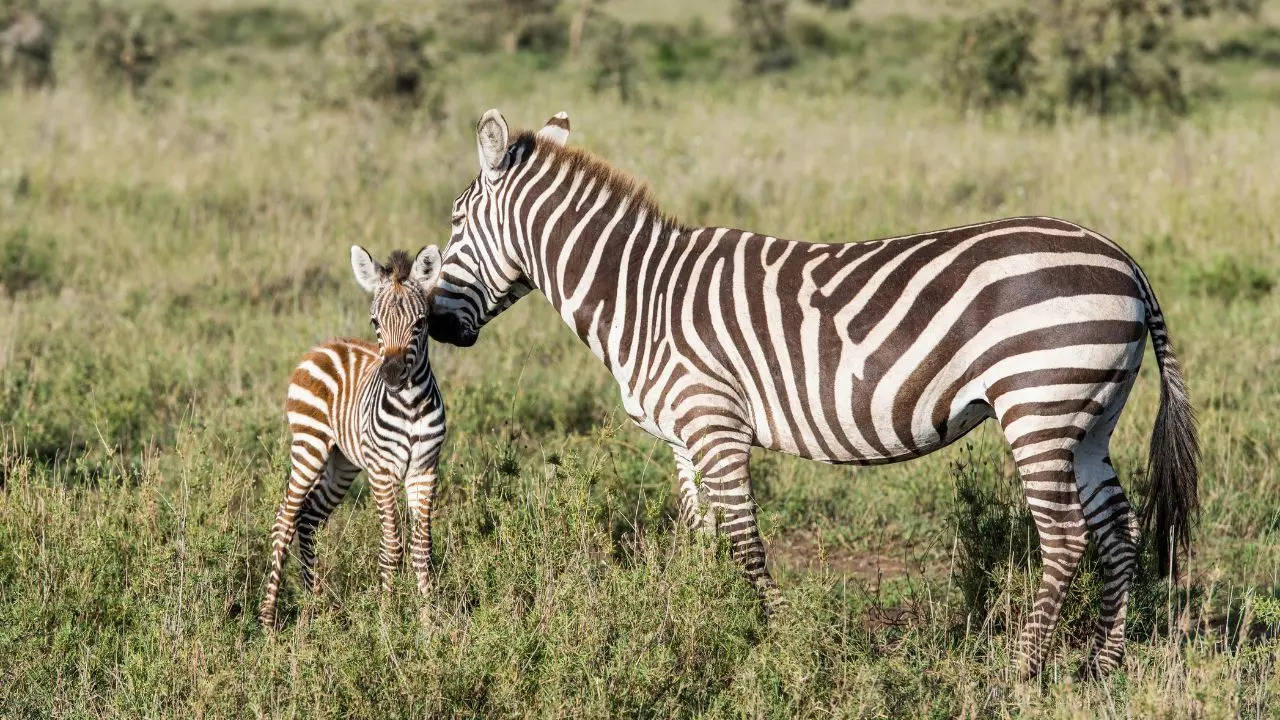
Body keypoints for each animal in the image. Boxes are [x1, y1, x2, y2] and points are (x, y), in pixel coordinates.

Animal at [259, 245, 447, 628]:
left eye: (420, 324)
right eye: (375, 322)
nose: (391, 375)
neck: (409, 404)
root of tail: (323, 345)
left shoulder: (425, 470)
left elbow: (423, 547)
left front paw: (428, 623)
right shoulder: (381, 471)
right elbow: (392, 543)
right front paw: (388, 618)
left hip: (342, 462)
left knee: (309, 517)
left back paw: (315, 603)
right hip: (310, 445)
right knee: (285, 517)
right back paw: (269, 619)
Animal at [426, 109, 1199, 678]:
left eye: (456, 224)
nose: (433, 325)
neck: (642, 295)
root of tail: (1123, 258)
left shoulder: (713, 421)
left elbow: (744, 541)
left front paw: (777, 642)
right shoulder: (683, 437)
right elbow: (701, 538)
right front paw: (700, 624)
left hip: (1038, 404)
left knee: (1066, 537)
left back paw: (1018, 669)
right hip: (1086, 420)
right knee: (1119, 529)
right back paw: (1102, 664)